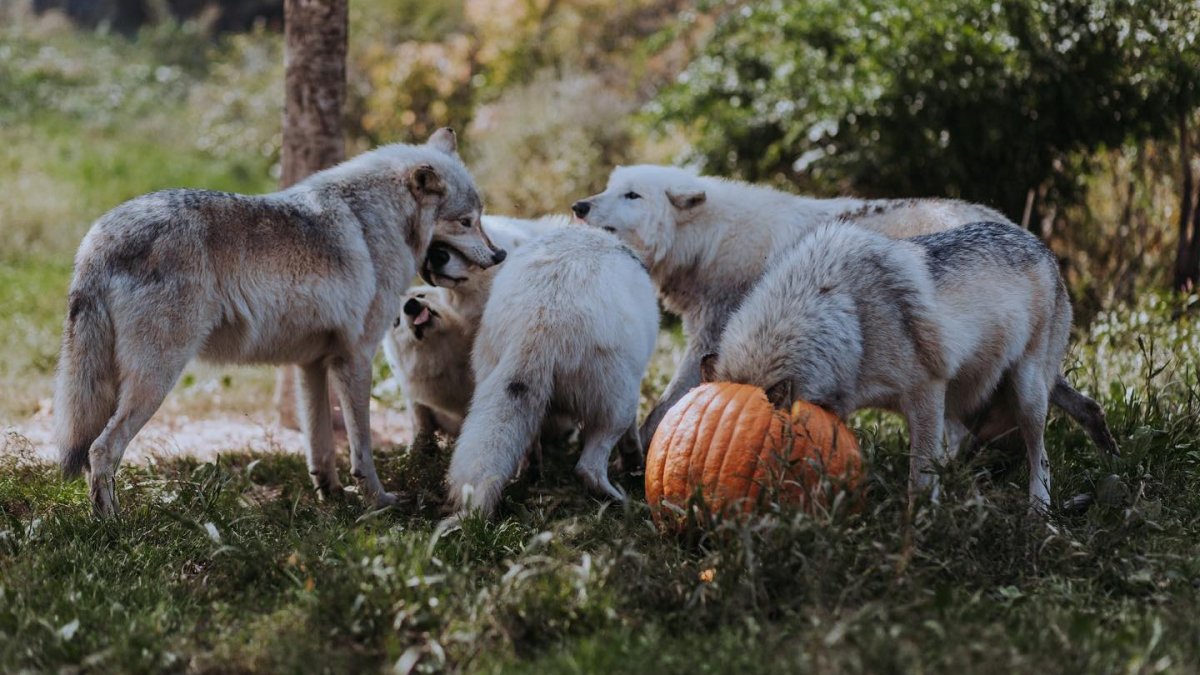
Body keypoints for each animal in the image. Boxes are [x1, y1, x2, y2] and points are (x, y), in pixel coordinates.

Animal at [54, 128, 502, 516]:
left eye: (480, 217)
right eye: (466, 221)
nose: (498, 255)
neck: (375, 223)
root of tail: (97, 241)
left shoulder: (312, 364)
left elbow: (321, 446)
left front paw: (332, 497)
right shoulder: (356, 359)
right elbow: (362, 449)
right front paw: (379, 503)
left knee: (93, 450)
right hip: (155, 381)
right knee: (101, 450)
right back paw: (114, 525)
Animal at [445, 225, 659, 517]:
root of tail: (540, 323)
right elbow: (631, 436)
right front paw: (634, 462)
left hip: (496, 373)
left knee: (528, 445)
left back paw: (532, 474)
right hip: (617, 400)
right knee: (588, 468)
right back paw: (620, 500)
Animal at [571, 164, 1116, 456]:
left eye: (631, 195)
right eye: (608, 187)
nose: (579, 205)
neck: (712, 241)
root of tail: (1014, 225)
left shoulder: (709, 342)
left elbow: (659, 409)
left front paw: (637, 453)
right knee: (1085, 405)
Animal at [703, 221, 1075, 509]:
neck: (850, 317)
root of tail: (1042, 246)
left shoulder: (927, 392)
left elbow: (919, 482)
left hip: (1026, 394)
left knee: (1040, 456)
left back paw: (1039, 514)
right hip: (961, 404)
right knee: (963, 441)